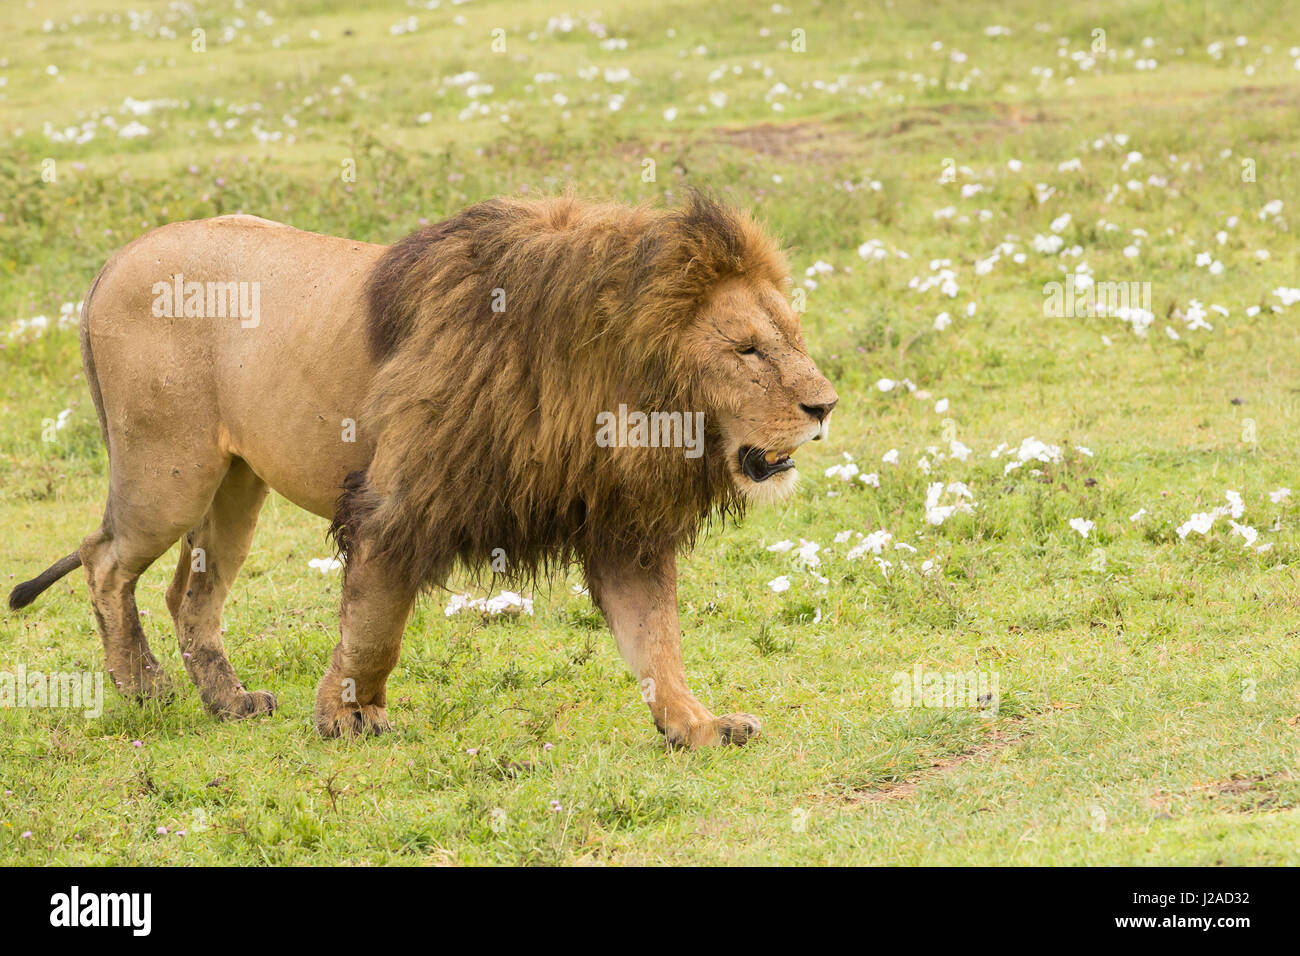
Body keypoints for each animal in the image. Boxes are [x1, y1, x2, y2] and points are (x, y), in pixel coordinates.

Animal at [9, 193, 838, 748]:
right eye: (746, 350)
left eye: (793, 336)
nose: (826, 406)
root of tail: (115, 259)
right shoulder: (400, 500)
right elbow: (375, 624)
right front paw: (348, 716)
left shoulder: (618, 526)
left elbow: (655, 642)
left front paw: (697, 725)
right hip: (168, 471)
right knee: (103, 558)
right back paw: (142, 687)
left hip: (234, 487)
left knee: (189, 594)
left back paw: (229, 703)